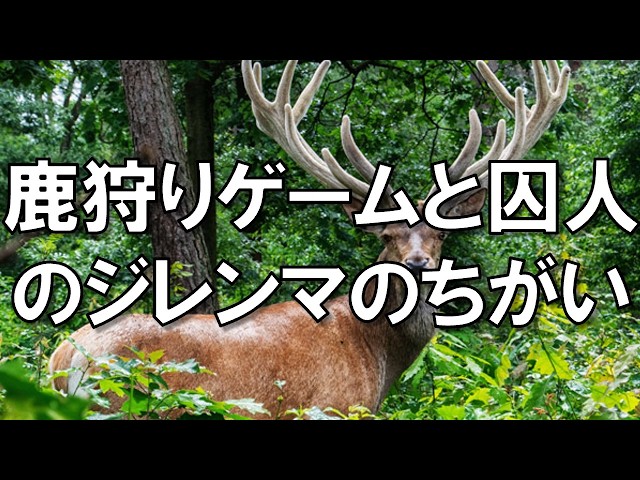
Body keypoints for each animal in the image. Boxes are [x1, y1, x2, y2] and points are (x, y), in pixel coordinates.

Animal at [50, 60, 570, 418]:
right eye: (387, 231)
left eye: (440, 233)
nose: (418, 263)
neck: (377, 356)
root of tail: (62, 362)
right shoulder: (334, 405)